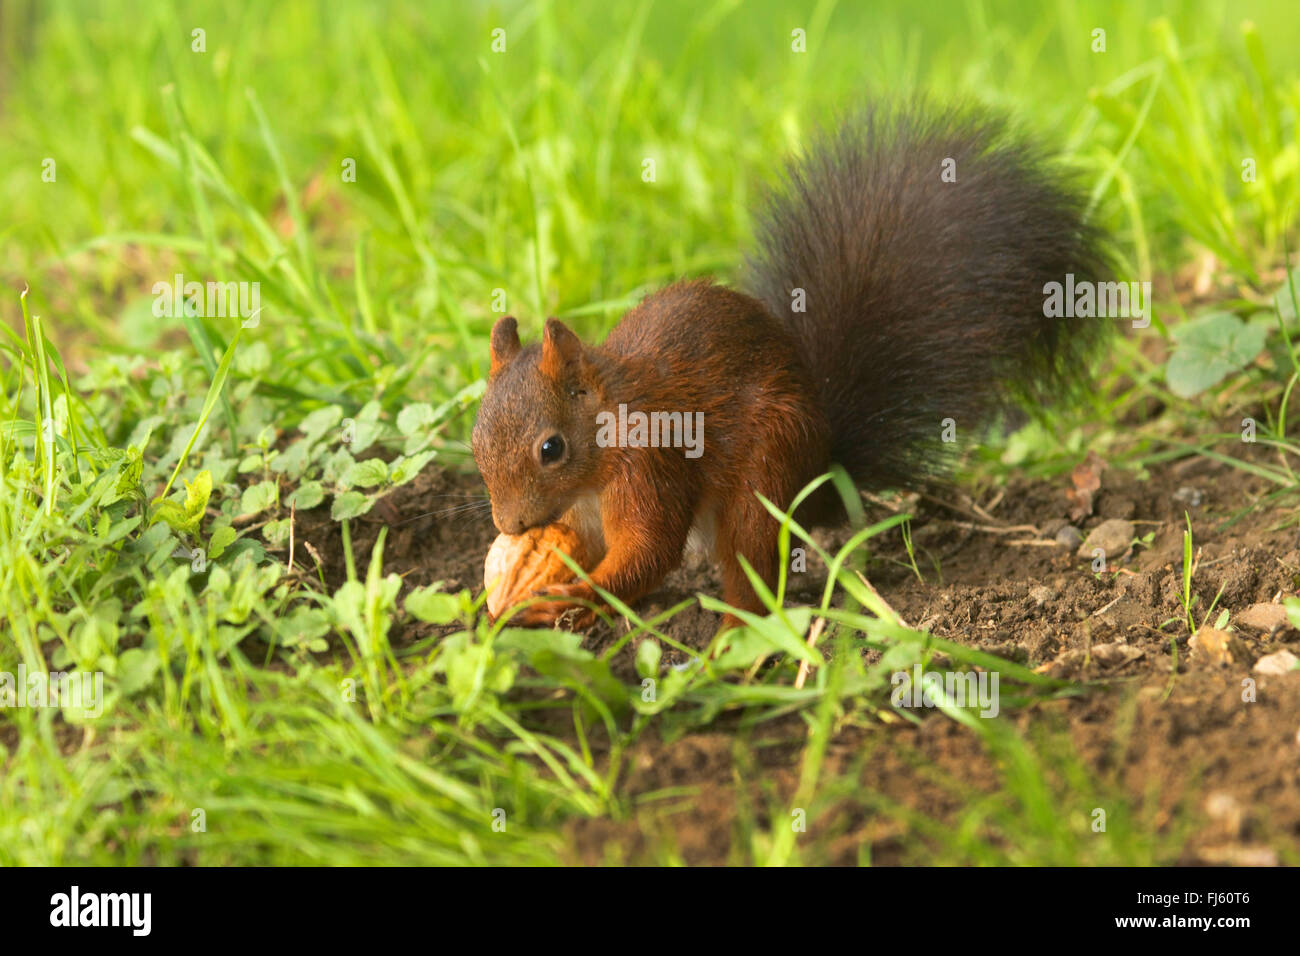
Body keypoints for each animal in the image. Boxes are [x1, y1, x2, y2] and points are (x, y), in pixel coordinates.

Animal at [472, 101, 1112, 630]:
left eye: (552, 448)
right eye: (475, 442)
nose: (510, 526)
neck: (601, 448)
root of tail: (818, 469)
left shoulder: (651, 464)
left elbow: (649, 551)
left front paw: (569, 598)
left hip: (766, 468)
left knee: (754, 569)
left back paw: (731, 642)